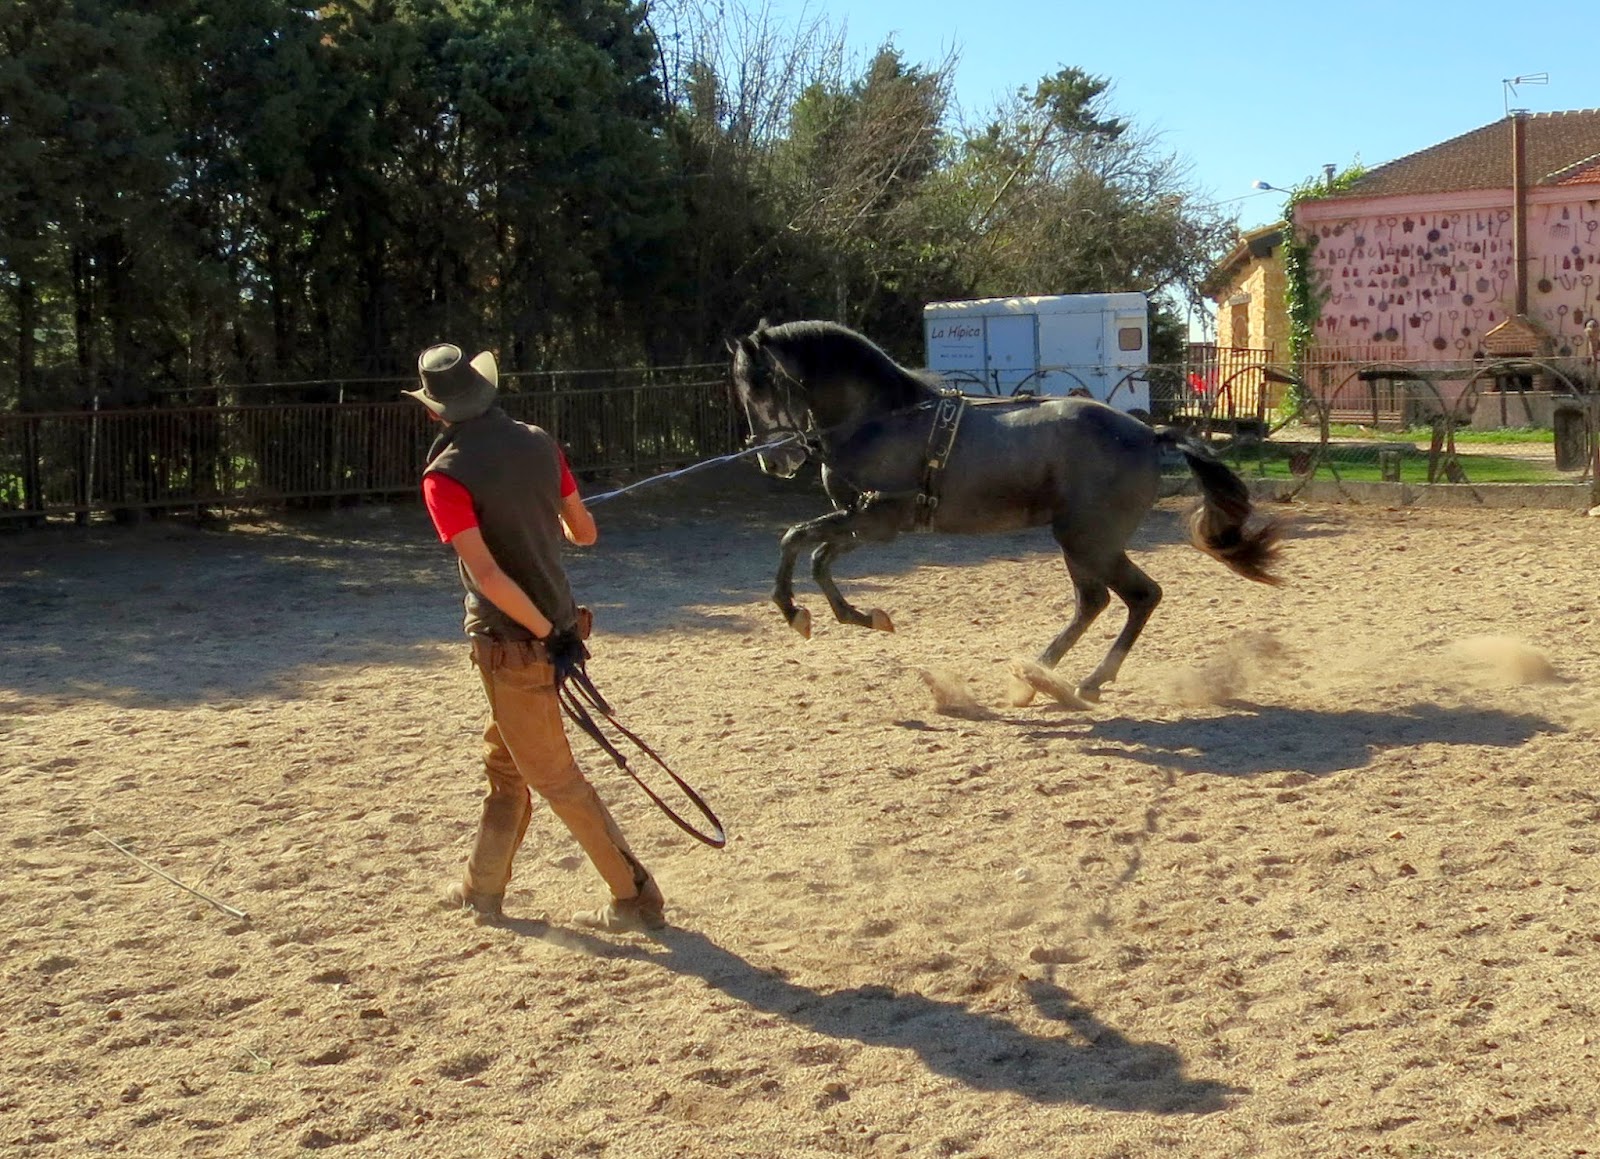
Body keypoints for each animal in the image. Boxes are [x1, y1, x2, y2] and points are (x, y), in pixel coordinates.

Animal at [727, 318, 1283, 707]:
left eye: (760, 385)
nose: (774, 460)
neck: (882, 419)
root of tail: (1149, 434)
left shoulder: (878, 521)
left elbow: (796, 539)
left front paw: (796, 612)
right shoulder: (862, 522)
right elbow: (818, 556)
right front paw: (860, 616)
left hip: (1090, 540)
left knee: (1140, 597)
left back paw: (1086, 681)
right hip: (1079, 542)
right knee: (1094, 602)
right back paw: (1037, 676)